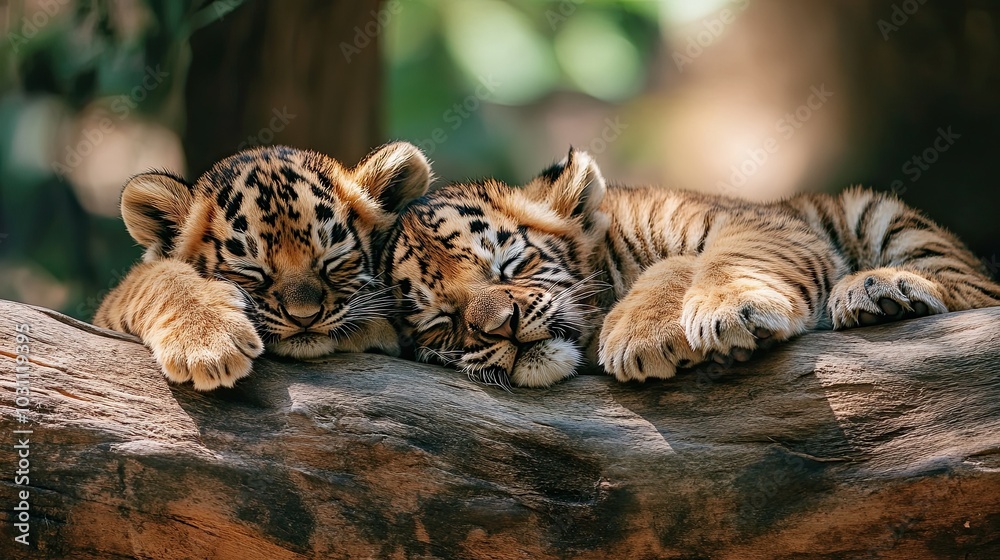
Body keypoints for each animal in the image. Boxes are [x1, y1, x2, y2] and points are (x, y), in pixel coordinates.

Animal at [384, 148, 1000, 389]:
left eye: (510, 265)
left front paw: (690, 323)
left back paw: (878, 290)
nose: (502, 327)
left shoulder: (760, 224)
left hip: (878, 213)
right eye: (443, 321)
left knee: (976, 288)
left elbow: (710, 259)